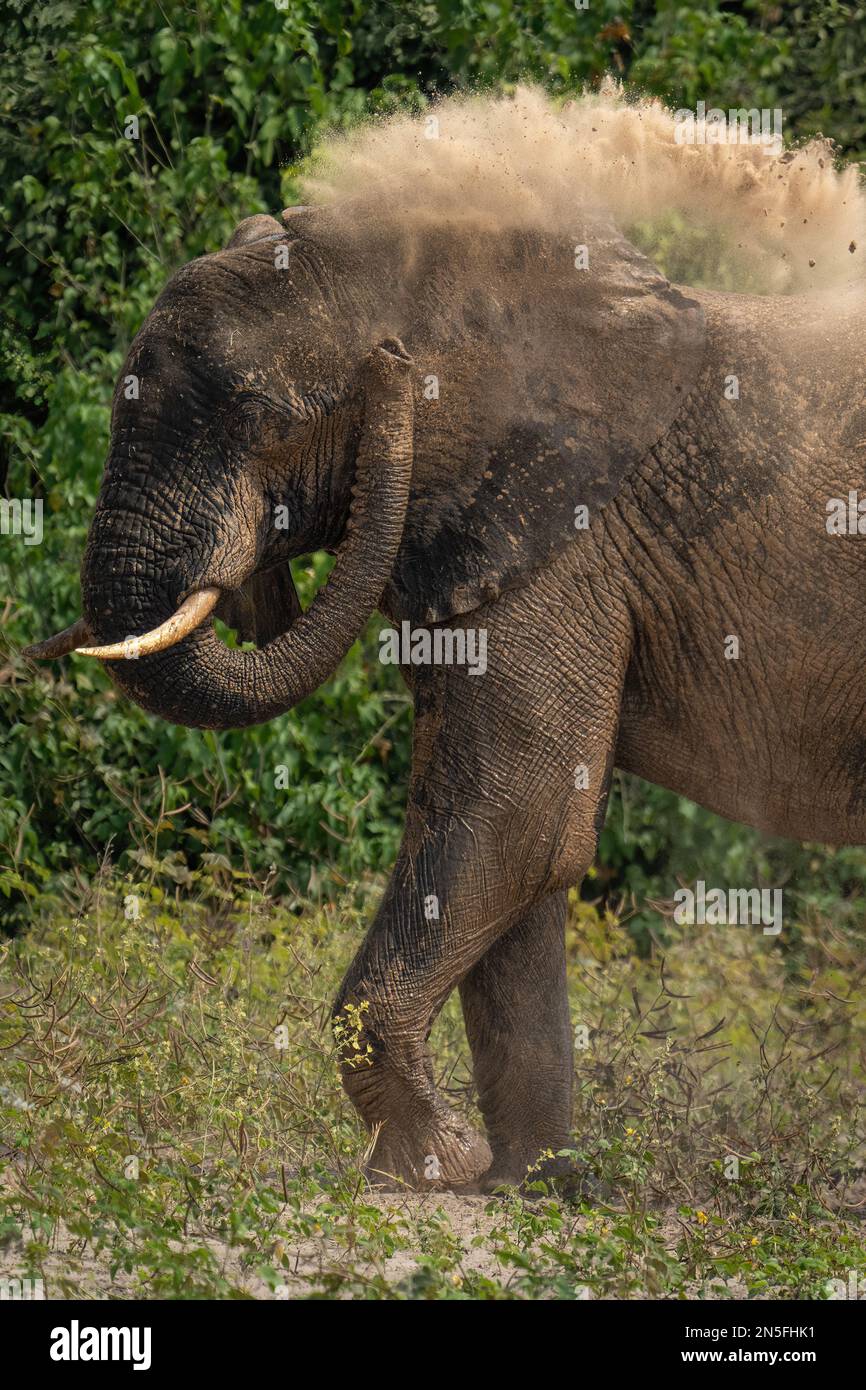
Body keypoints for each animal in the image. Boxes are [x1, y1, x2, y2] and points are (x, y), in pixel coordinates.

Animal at [26, 182, 865, 1192]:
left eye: (263, 418)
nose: (387, 371)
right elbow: (526, 849)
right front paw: (524, 1183)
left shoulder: (558, 539)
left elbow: (514, 820)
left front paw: (433, 1166)